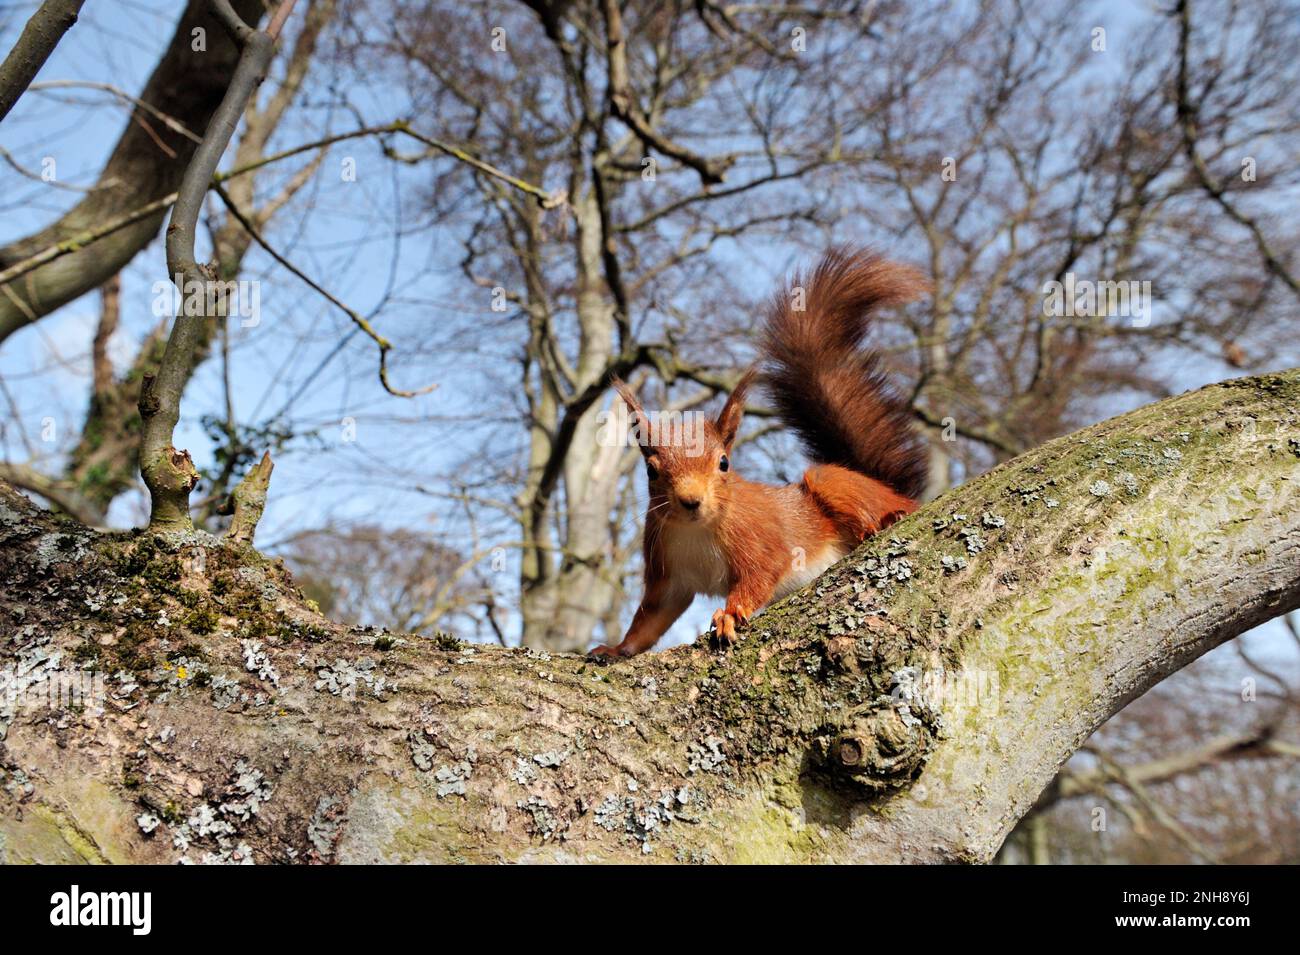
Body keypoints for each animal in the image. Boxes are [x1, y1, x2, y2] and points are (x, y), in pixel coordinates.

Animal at [590, 247, 929, 659]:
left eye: (724, 463)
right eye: (651, 471)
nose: (690, 500)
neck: (696, 530)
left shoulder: (761, 540)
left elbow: (759, 575)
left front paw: (729, 615)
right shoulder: (668, 575)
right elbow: (650, 619)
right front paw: (616, 649)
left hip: (831, 480)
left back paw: (886, 519)